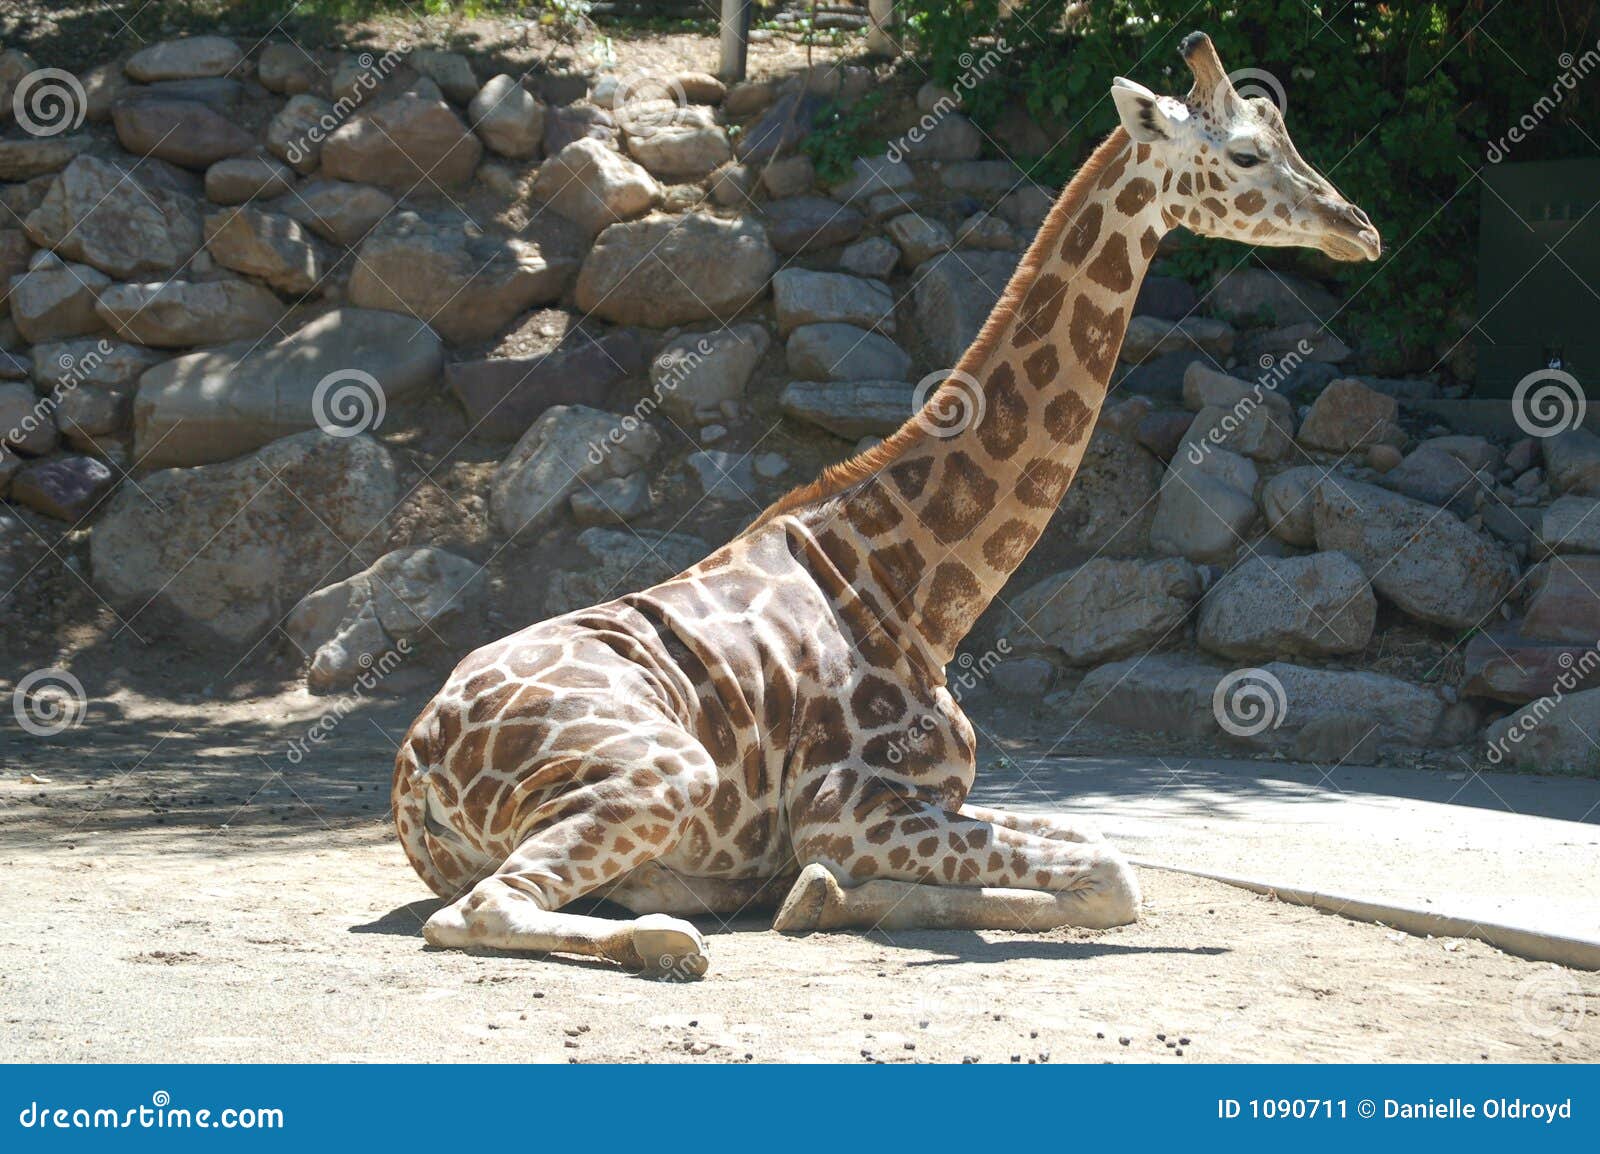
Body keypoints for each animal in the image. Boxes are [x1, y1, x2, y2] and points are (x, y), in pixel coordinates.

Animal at [391, 33, 1381, 977]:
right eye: (1247, 153)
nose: (1360, 228)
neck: (916, 592)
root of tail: (415, 765)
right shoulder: (843, 804)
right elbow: (1113, 872)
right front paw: (819, 895)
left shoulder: (934, 798)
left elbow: (1100, 854)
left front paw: (818, 896)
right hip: (666, 771)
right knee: (475, 912)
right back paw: (669, 944)